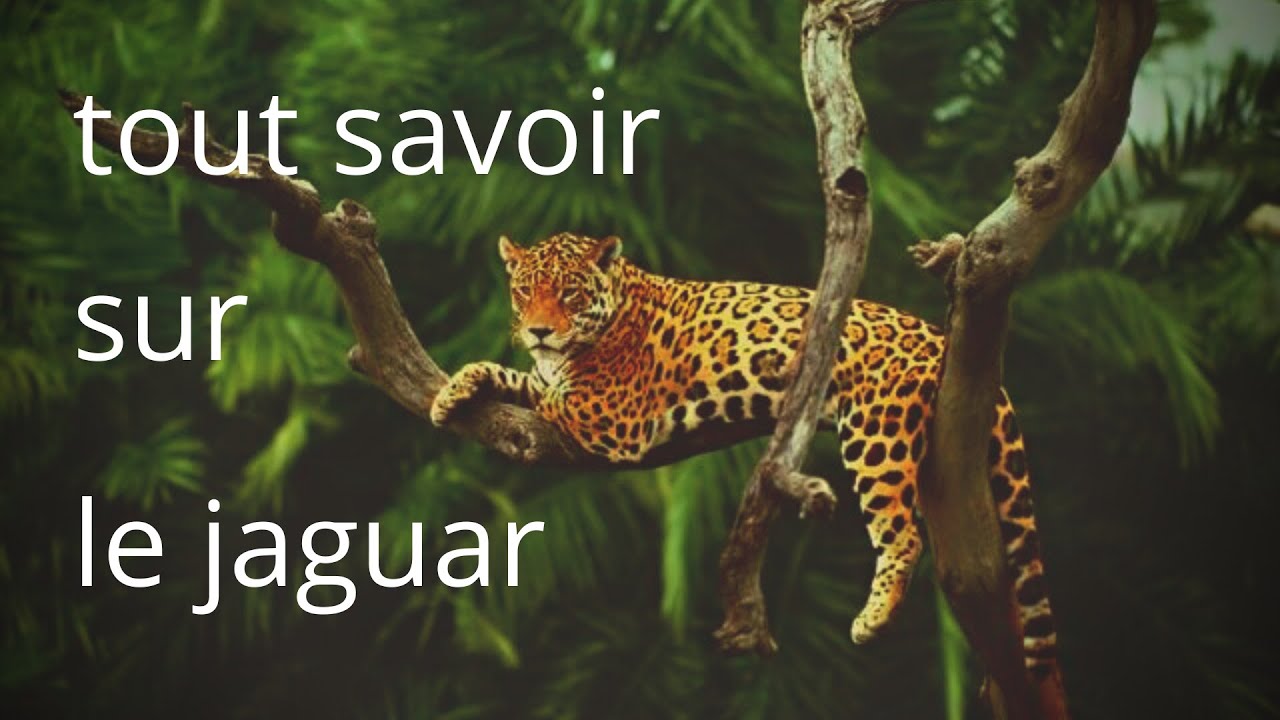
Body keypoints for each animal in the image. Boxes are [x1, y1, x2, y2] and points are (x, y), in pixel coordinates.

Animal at [430, 231, 1058, 677]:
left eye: (569, 293)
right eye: (523, 292)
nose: (539, 331)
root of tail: (940, 338)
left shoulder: (610, 416)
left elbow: (544, 390)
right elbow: (517, 376)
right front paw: (453, 390)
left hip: (875, 433)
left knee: (901, 534)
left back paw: (872, 620)